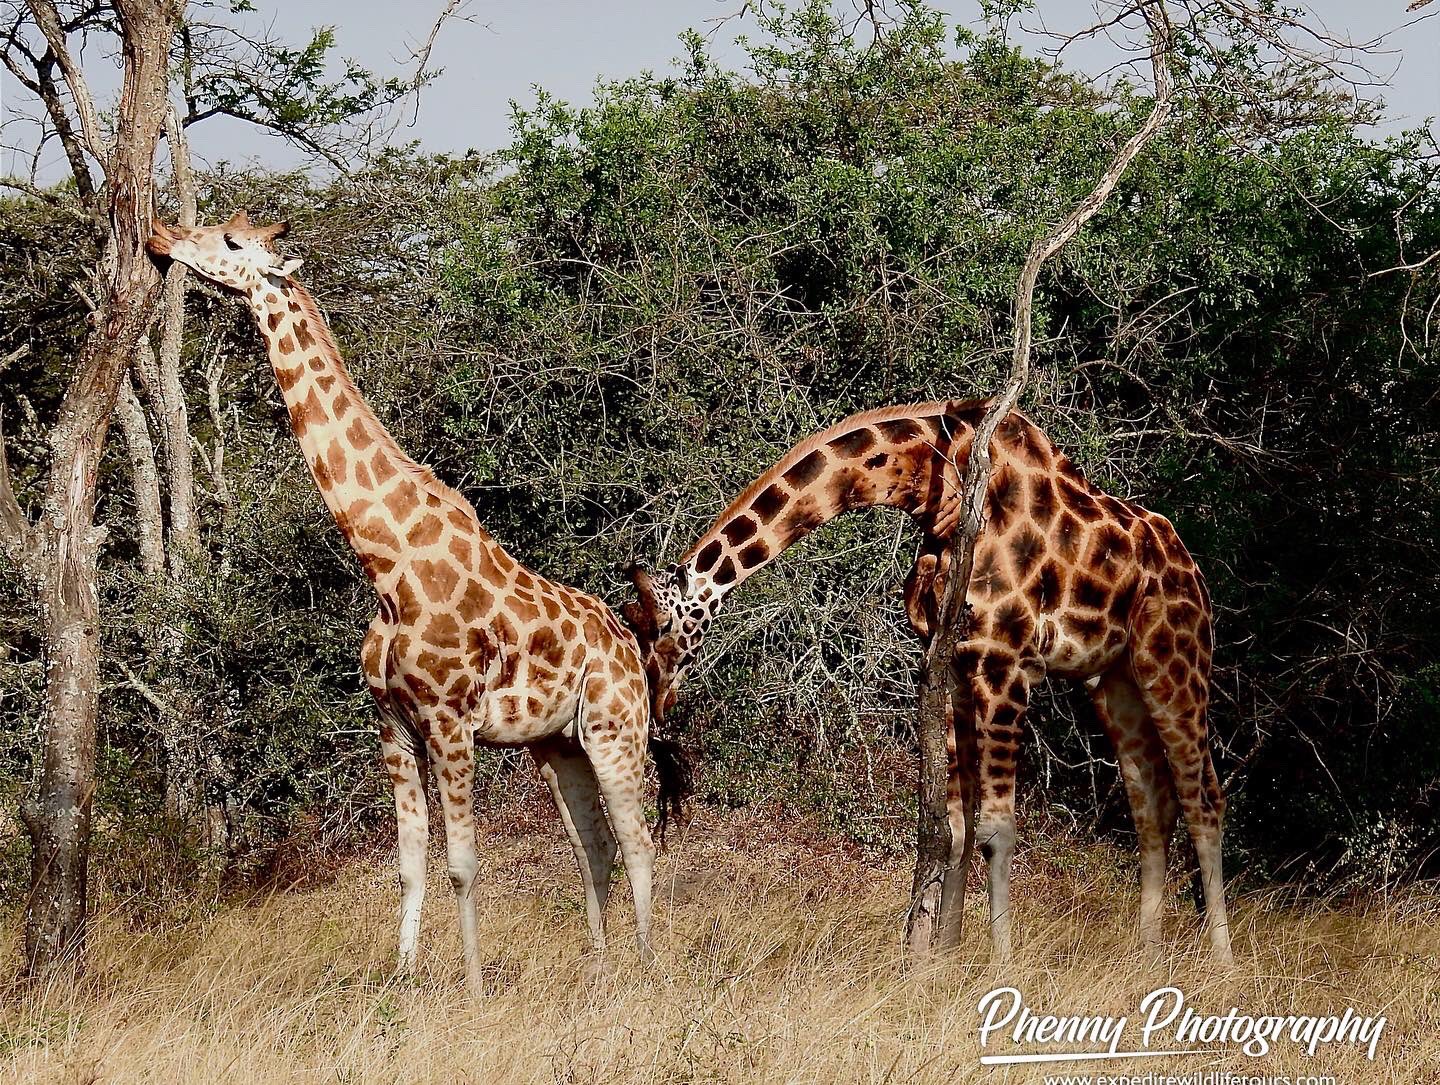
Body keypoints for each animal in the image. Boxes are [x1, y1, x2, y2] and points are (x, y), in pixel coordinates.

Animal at [148, 212, 685, 992]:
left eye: (232, 243)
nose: (161, 237)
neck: (386, 564)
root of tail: (632, 647)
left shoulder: (449, 720)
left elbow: (462, 864)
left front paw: (474, 987)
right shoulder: (393, 725)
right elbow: (409, 864)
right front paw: (404, 979)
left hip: (616, 729)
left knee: (639, 840)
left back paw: (645, 971)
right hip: (559, 744)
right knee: (597, 845)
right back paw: (602, 970)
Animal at [625, 398, 1233, 964]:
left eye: (662, 636)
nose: (658, 703)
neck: (933, 488)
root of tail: (1194, 572)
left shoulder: (1004, 661)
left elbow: (996, 829)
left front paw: (998, 963)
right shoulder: (951, 664)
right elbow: (954, 827)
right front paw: (941, 957)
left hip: (1175, 660)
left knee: (1204, 799)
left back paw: (1221, 960)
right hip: (1116, 682)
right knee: (1152, 808)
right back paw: (1147, 955)